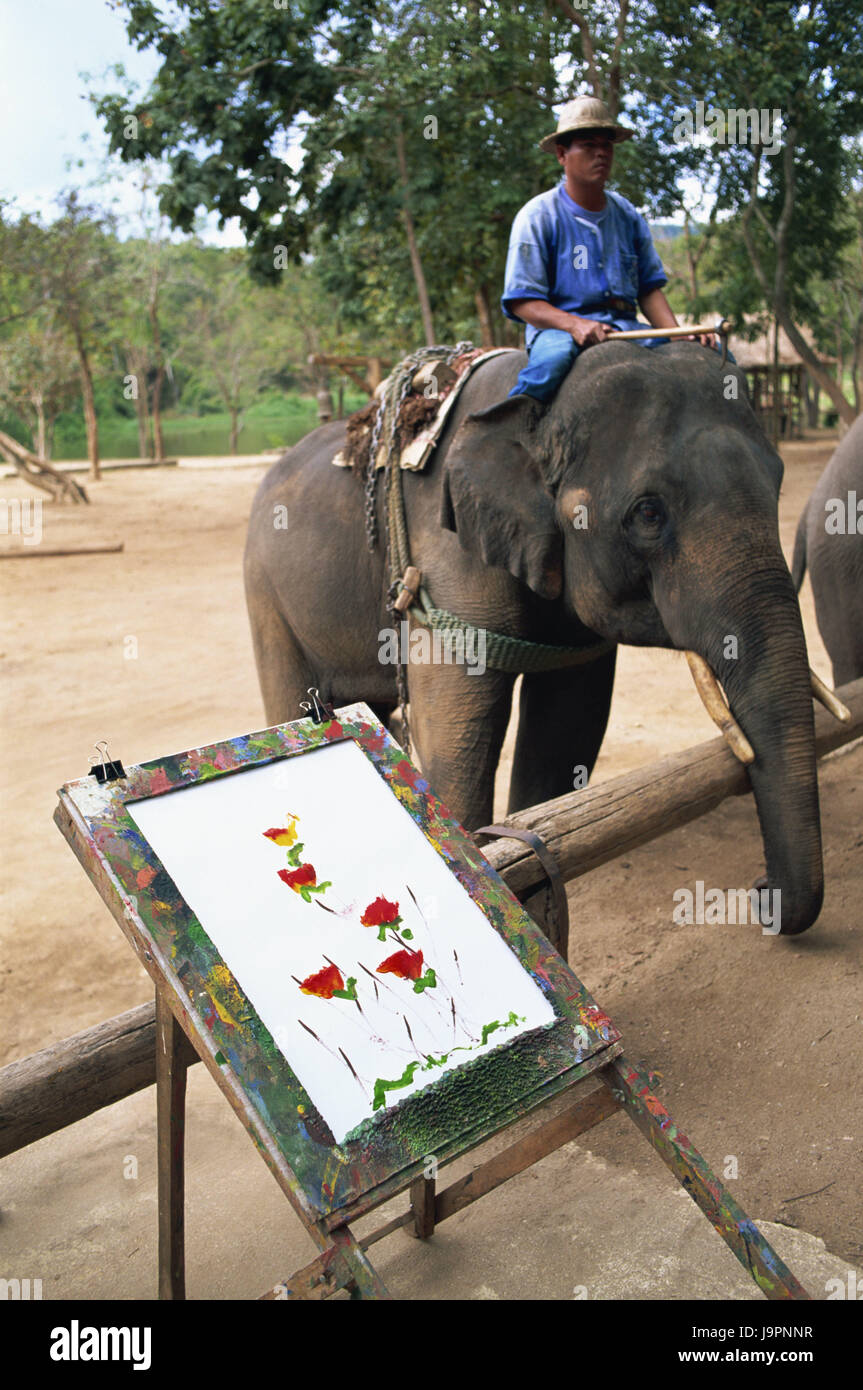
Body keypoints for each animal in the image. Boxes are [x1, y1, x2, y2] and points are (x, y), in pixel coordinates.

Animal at [244, 342, 824, 935]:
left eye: (778, 484)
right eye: (648, 512)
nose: (759, 891)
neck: (538, 405)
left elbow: (568, 719)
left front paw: (533, 850)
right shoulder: (443, 557)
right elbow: (457, 725)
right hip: (265, 591)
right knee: (295, 700)